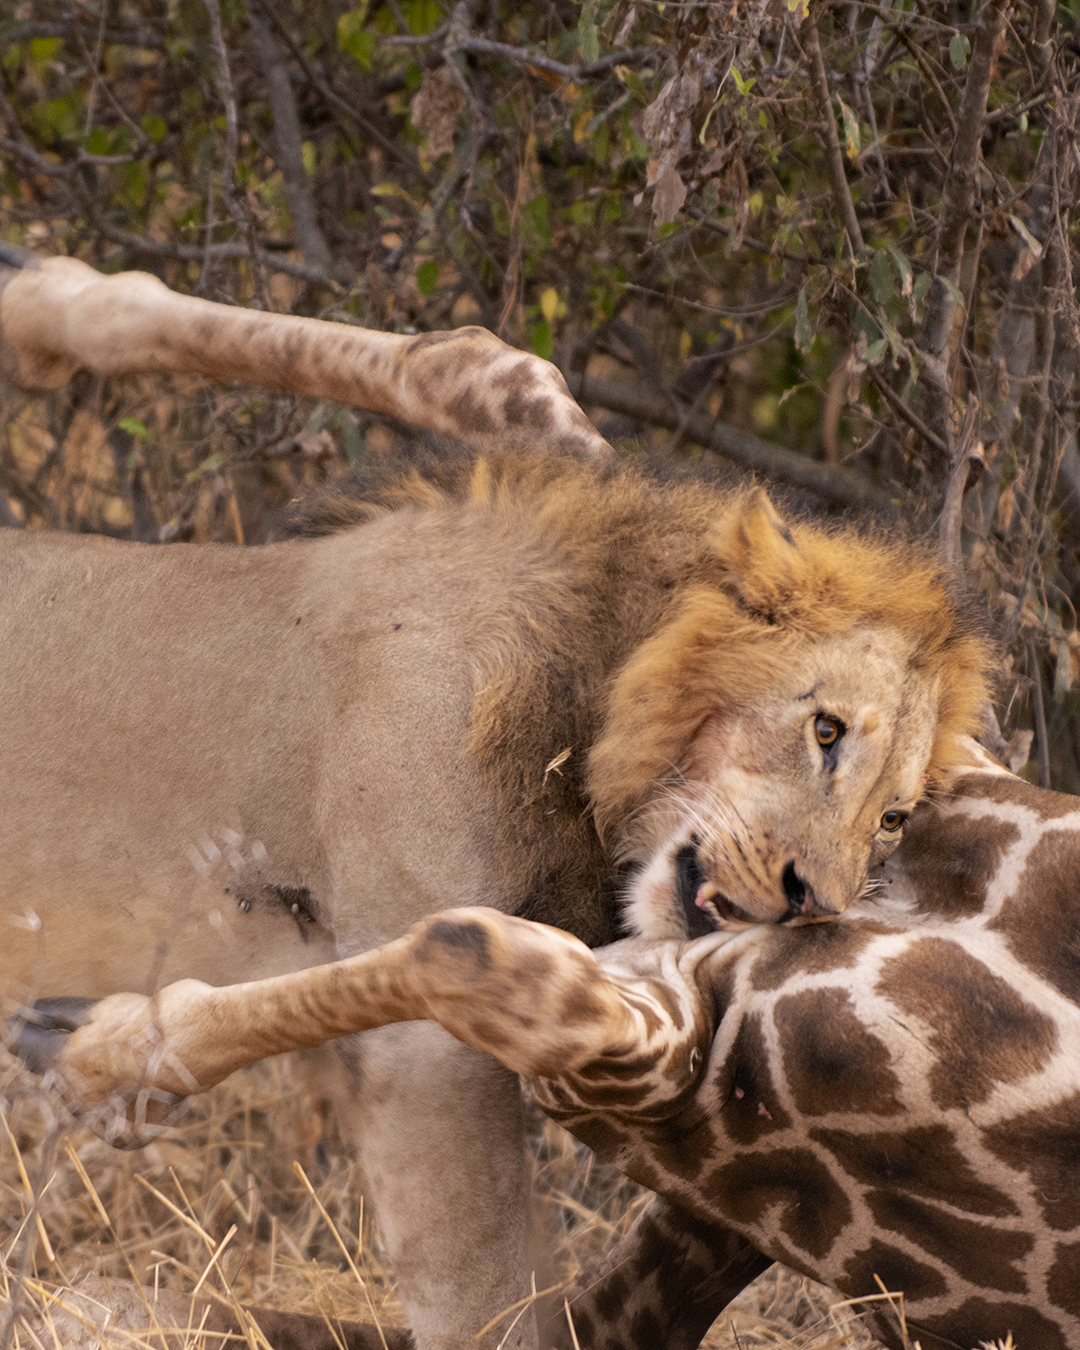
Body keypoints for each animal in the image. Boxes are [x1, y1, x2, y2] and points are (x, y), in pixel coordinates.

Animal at [0, 250, 993, 1350]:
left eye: (892, 819)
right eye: (825, 731)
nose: (810, 900)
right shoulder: (422, 1030)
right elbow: (482, 1288)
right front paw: (46, 303)